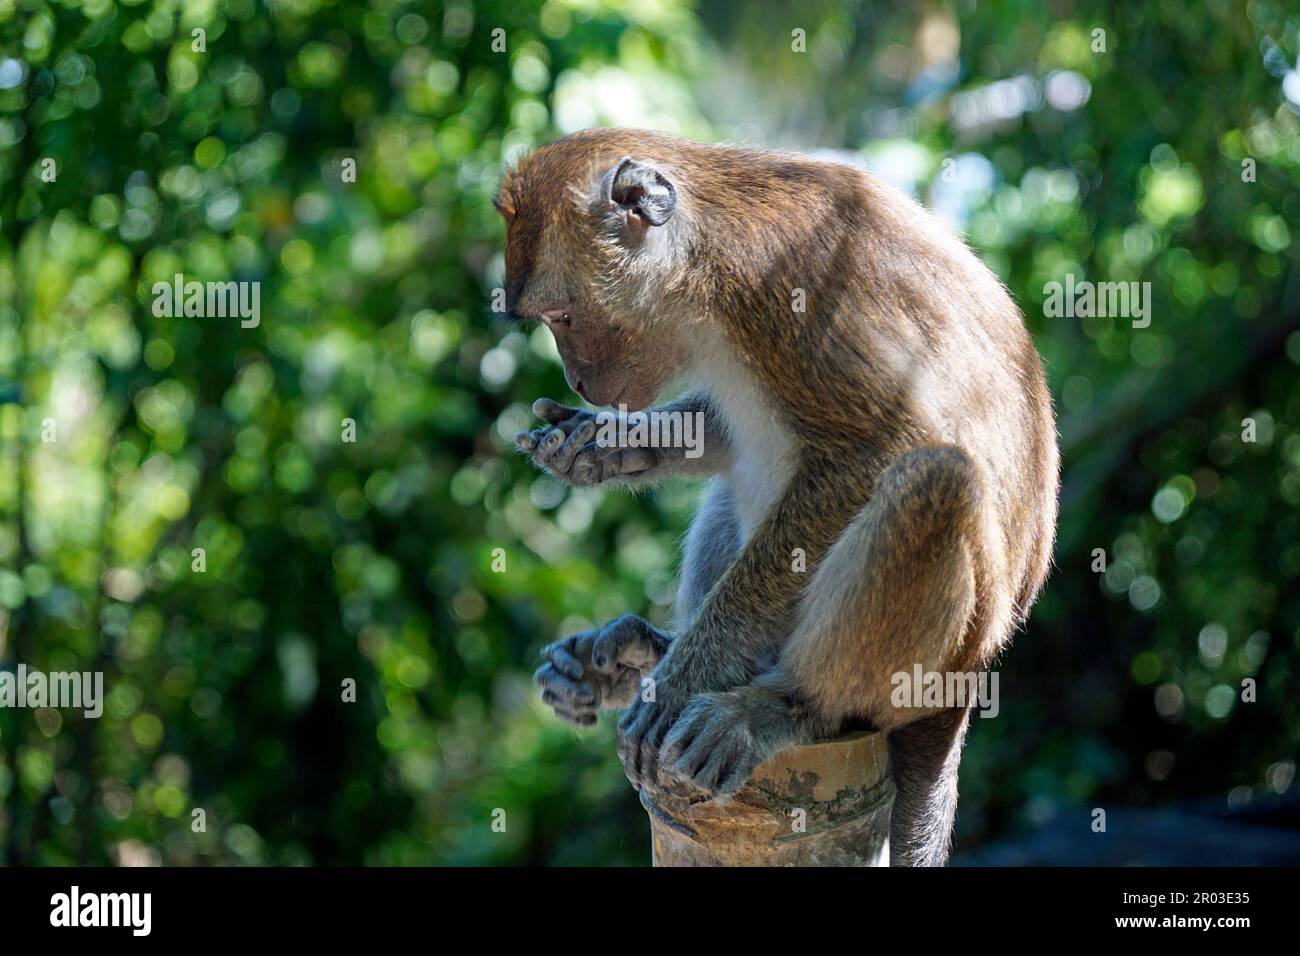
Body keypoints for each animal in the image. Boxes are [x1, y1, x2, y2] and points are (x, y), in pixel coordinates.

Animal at [501, 128, 1059, 866]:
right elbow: (724, 432)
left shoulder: (787, 286)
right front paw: (607, 444)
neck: (701, 257)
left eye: (562, 316)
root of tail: (970, 681)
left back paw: (789, 705)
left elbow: (881, 445)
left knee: (935, 481)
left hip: (944, 655)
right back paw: (640, 652)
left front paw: (688, 675)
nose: (579, 380)